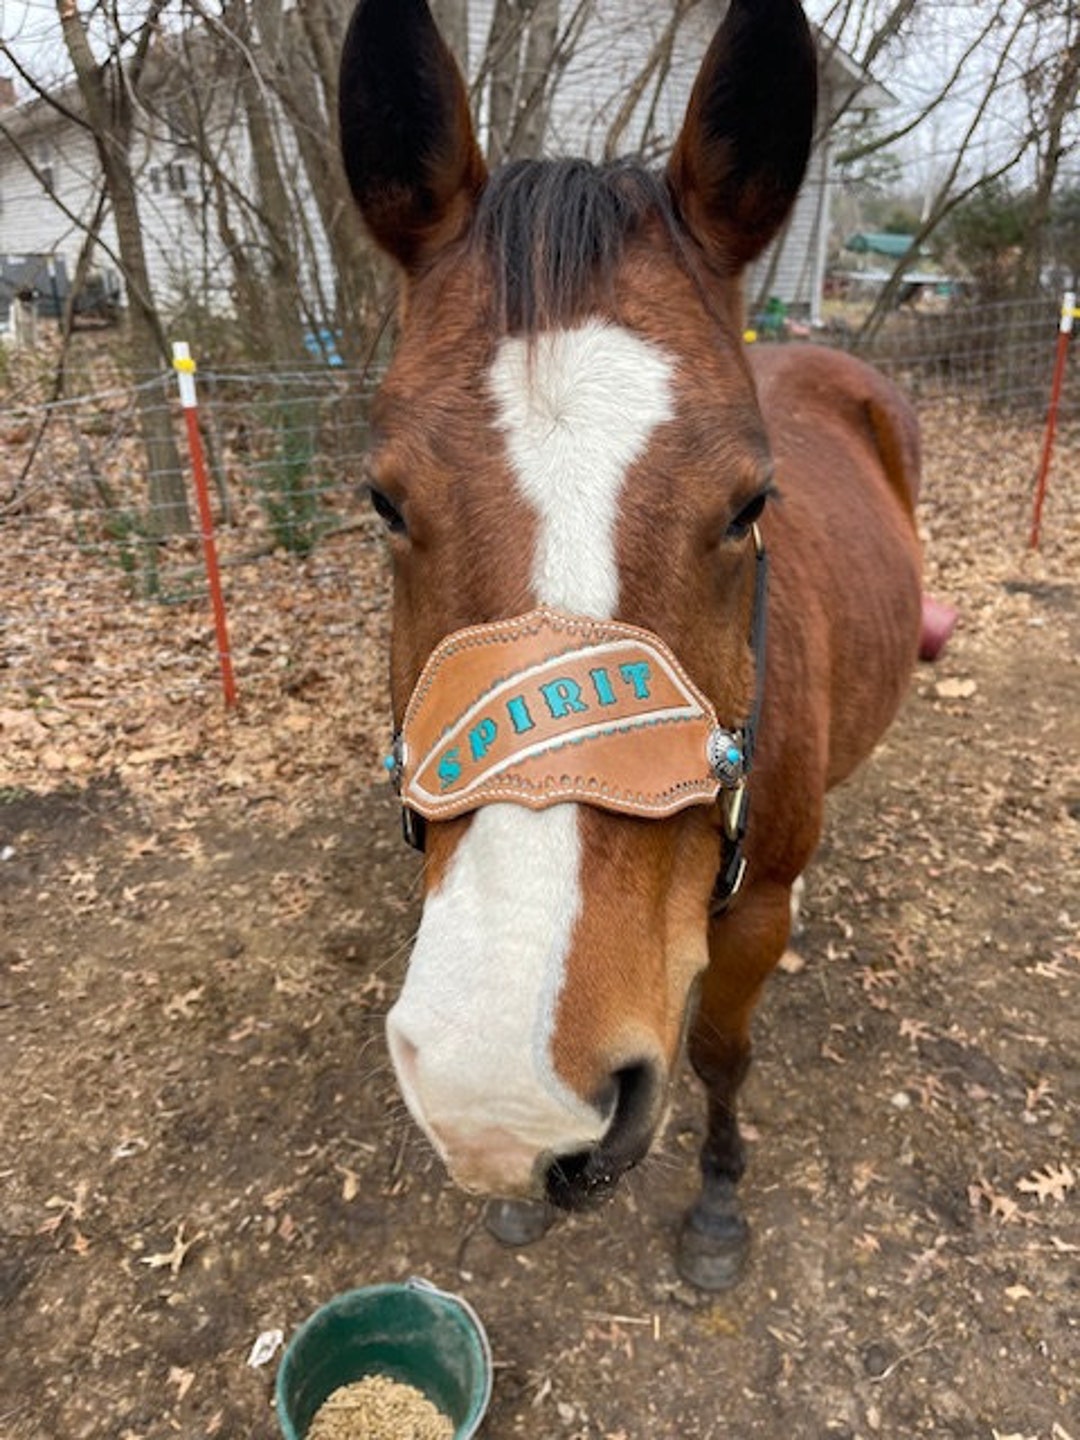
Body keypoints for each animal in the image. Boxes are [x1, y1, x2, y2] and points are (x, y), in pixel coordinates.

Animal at [338, 0, 923, 1289]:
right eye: (383, 502)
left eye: (751, 506)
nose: (503, 1099)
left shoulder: (751, 914)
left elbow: (721, 1054)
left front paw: (718, 1202)